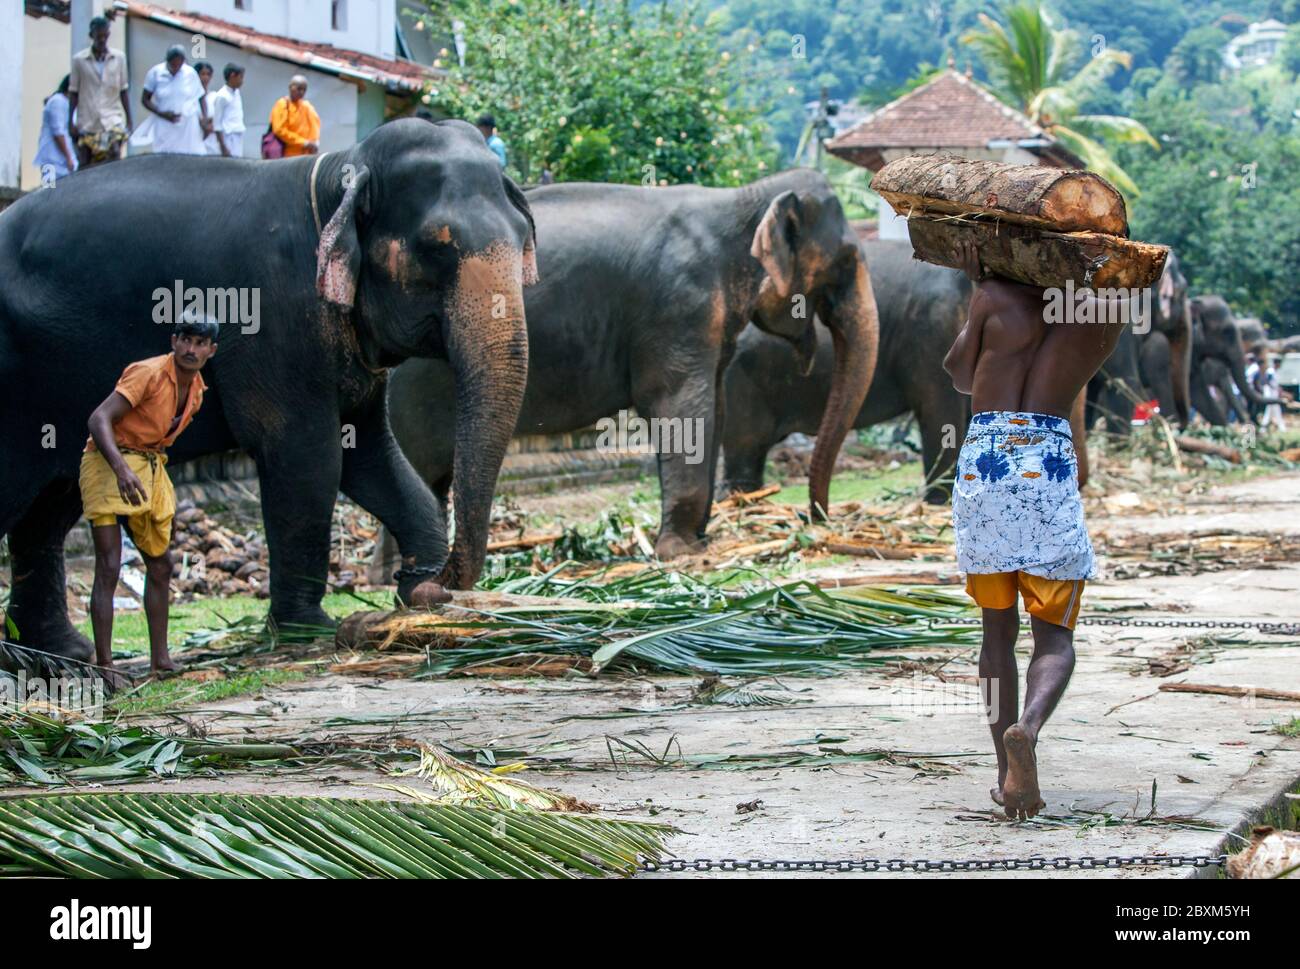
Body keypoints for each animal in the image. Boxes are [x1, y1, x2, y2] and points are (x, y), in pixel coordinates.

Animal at [0, 119, 537, 660]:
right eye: (436, 248)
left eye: (522, 238)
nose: (436, 581)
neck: (339, 171)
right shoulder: (274, 324)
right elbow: (310, 460)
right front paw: (308, 631)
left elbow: (370, 456)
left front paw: (417, 597)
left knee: (49, 509)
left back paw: (61, 655)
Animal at [376, 169, 880, 575]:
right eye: (845, 261)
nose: (816, 519)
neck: (741, 200)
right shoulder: (680, 306)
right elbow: (681, 407)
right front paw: (681, 553)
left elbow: (713, 409)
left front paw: (699, 542)